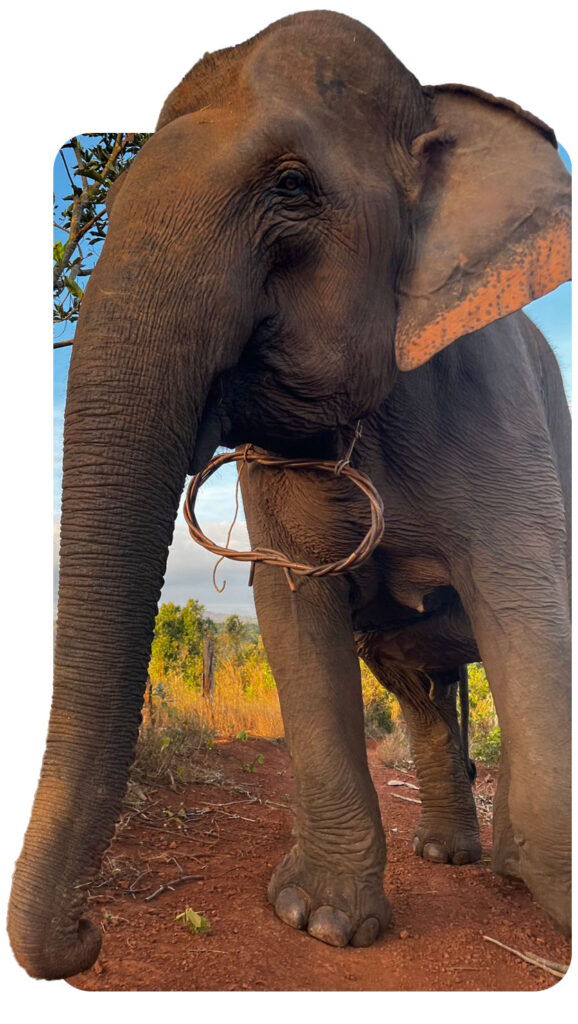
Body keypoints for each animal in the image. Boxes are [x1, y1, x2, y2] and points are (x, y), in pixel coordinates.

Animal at [9, 10, 570, 978]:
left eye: (294, 185)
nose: (87, 937)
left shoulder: (501, 417)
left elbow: (527, 612)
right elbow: (294, 613)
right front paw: (326, 923)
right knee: (420, 688)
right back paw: (448, 856)